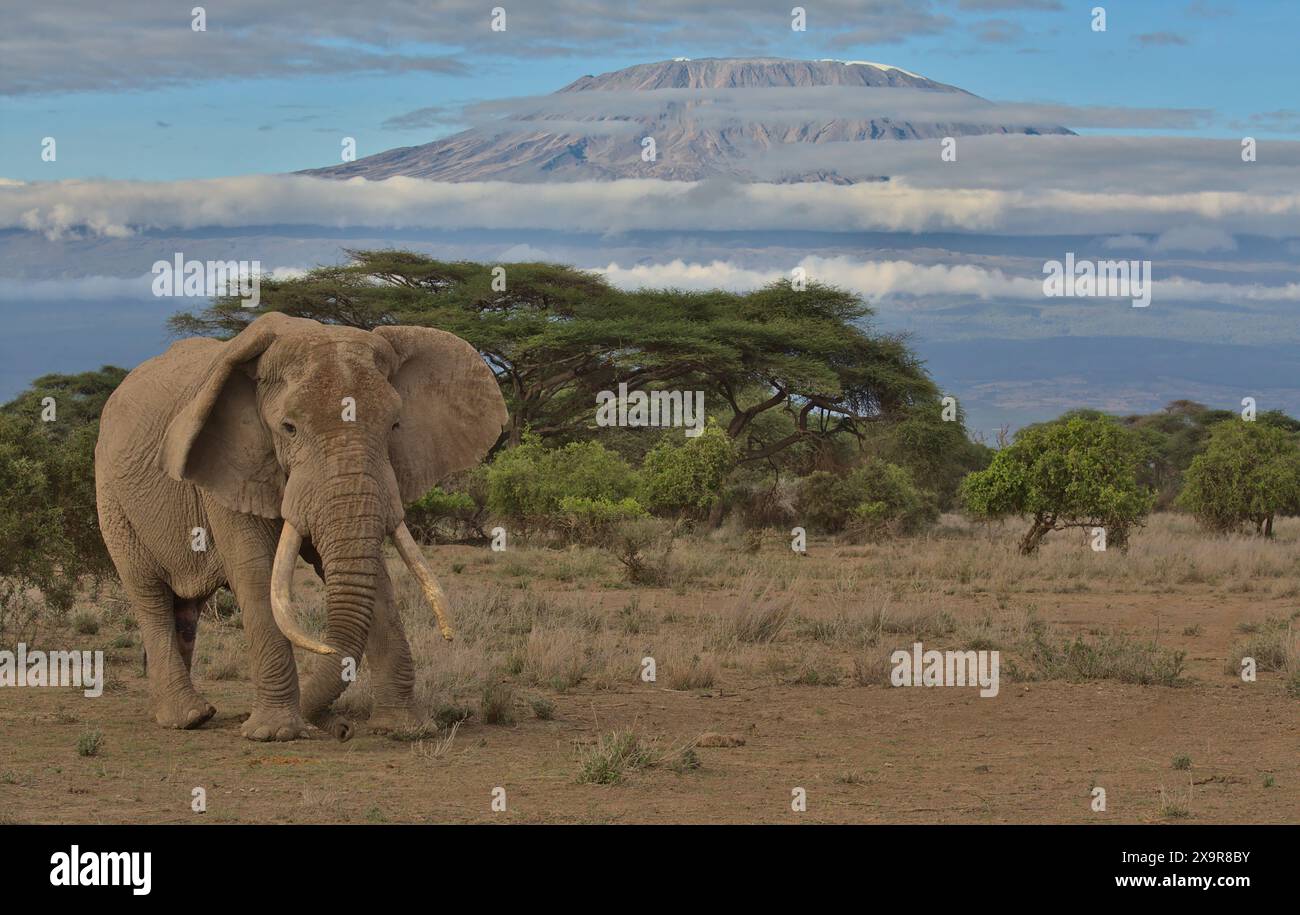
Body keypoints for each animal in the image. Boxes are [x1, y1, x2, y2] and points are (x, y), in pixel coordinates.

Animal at [94, 312, 507, 740]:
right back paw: (187, 718)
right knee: (148, 593)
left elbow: (373, 576)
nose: (340, 728)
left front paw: (406, 730)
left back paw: (192, 712)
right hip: (111, 496)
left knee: (184, 610)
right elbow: (256, 574)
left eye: (394, 426)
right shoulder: (231, 468)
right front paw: (275, 733)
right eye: (289, 428)